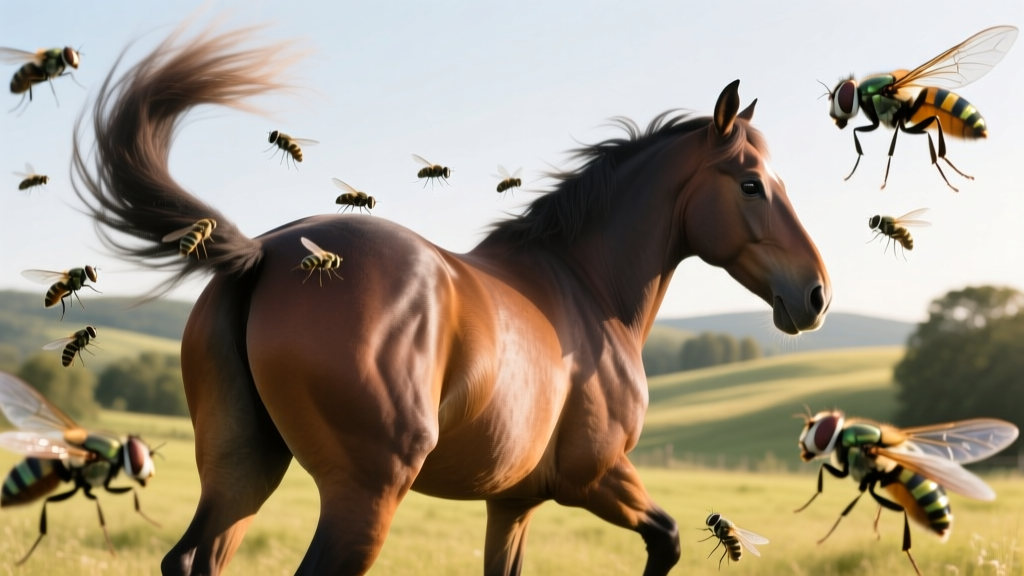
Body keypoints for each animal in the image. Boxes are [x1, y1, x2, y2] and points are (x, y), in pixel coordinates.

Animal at [72, 23, 831, 576]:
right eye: (752, 184)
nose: (817, 294)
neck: (585, 287)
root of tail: (265, 255)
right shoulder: (596, 476)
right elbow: (667, 540)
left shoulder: (514, 503)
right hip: (364, 495)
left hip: (242, 470)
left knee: (190, 560)